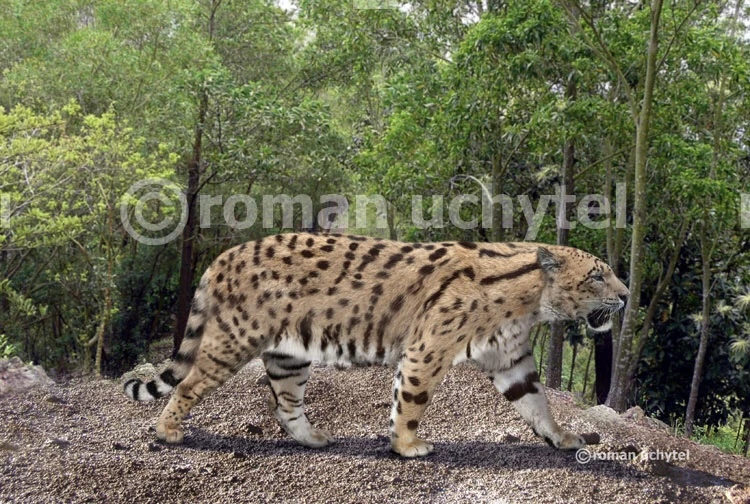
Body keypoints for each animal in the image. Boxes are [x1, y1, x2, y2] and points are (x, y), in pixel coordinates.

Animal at [124, 233, 628, 457]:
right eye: (597, 275)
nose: (626, 295)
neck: (529, 300)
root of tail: (224, 254)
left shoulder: (512, 362)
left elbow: (539, 405)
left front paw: (563, 437)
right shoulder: (427, 350)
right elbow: (410, 403)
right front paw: (405, 445)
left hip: (290, 356)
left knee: (285, 405)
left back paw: (311, 438)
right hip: (233, 340)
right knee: (187, 385)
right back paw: (167, 430)